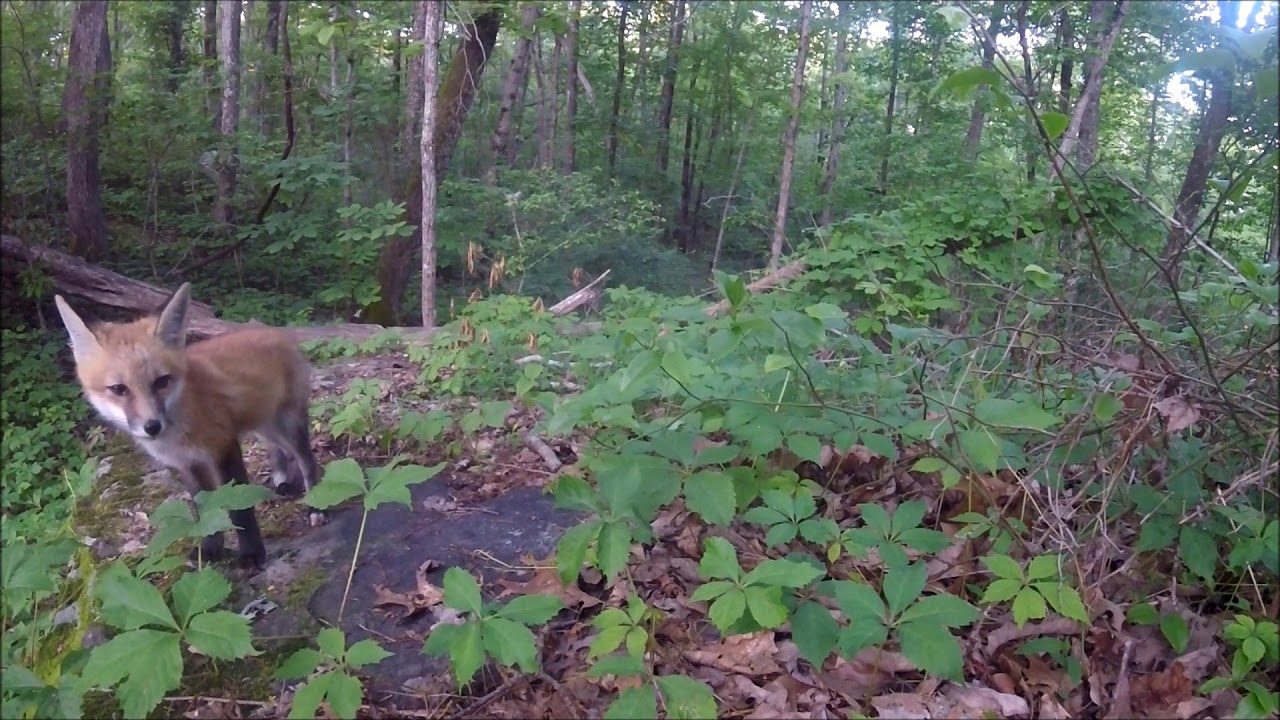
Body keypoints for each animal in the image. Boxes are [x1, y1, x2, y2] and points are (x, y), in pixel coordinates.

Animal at [54, 283, 325, 571]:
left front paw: (251, 554)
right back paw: (286, 483)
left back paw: (316, 506)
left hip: (287, 425)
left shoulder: (223, 447)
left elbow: (240, 510)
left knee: (307, 461)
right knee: (282, 453)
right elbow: (202, 510)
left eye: (162, 381)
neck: (180, 427)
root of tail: (274, 332)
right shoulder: (188, 463)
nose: (152, 426)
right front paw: (210, 550)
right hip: (265, 426)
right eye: (118, 389)